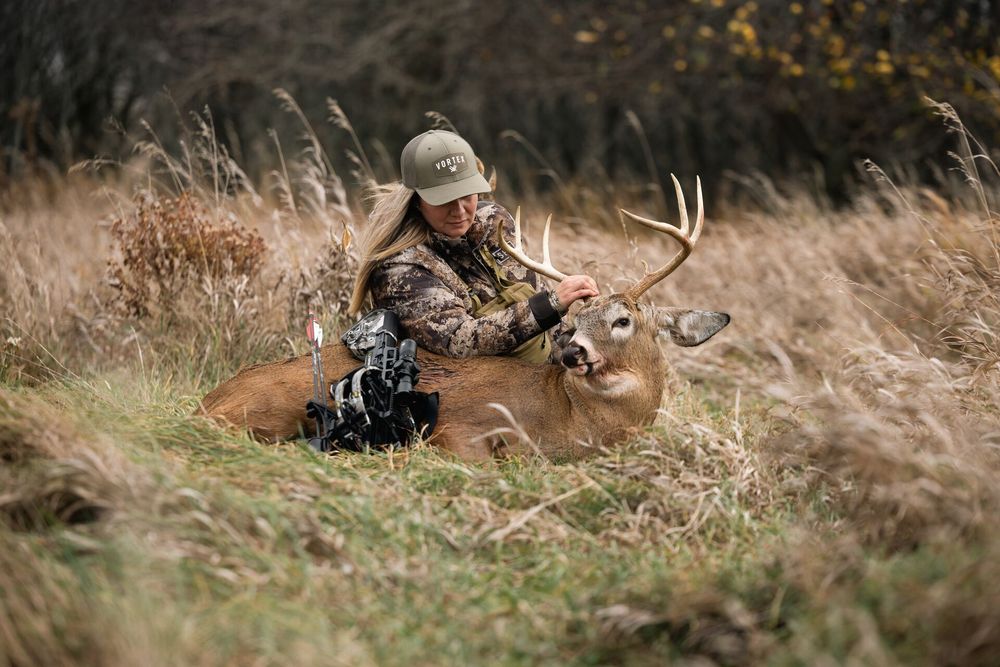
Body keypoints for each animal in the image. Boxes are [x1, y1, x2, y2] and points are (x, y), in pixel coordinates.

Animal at [199, 175, 730, 462]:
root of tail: (208, 401)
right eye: (577, 324)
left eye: (623, 320)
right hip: (268, 410)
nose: (574, 352)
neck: (578, 420)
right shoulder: (466, 428)